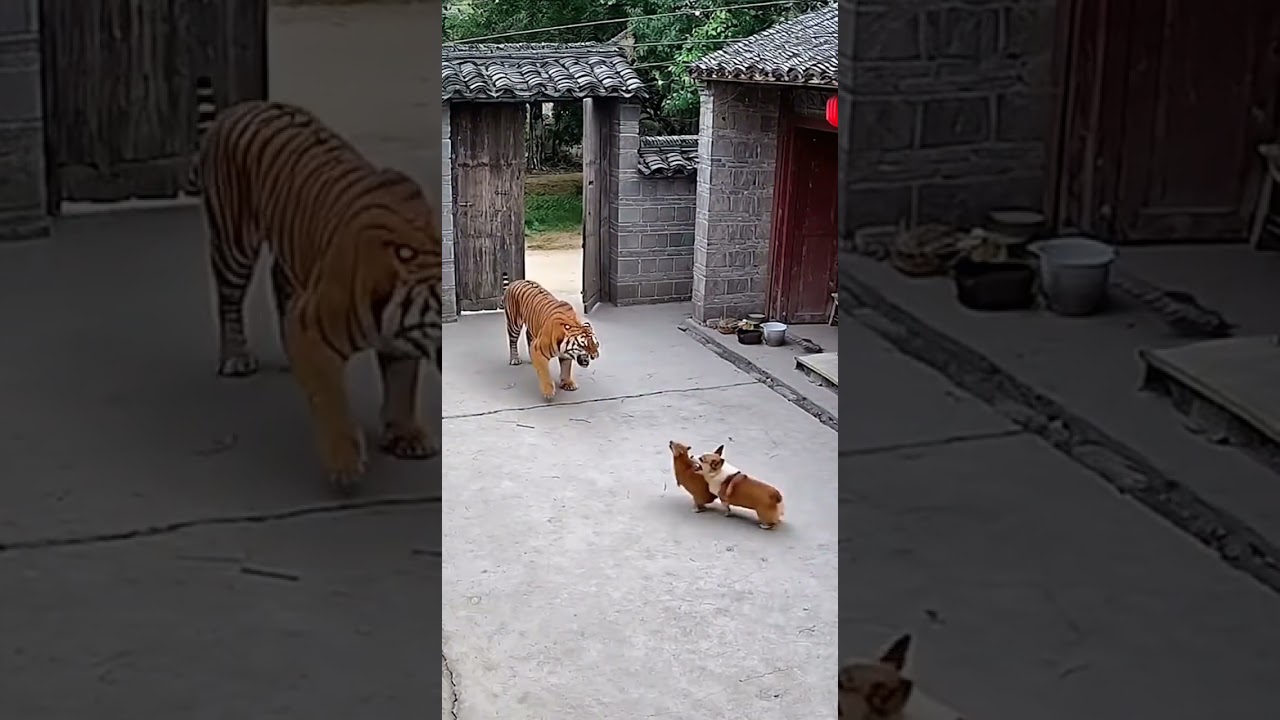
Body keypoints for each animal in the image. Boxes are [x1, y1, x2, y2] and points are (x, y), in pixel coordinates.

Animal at [188, 81, 441, 494]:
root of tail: (240, 107)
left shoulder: (399, 342)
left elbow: (403, 385)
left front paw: (405, 435)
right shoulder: (311, 326)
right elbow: (331, 397)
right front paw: (344, 464)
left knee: (277, 279)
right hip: (233, 240)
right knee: (229, 299)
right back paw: (236, 357)